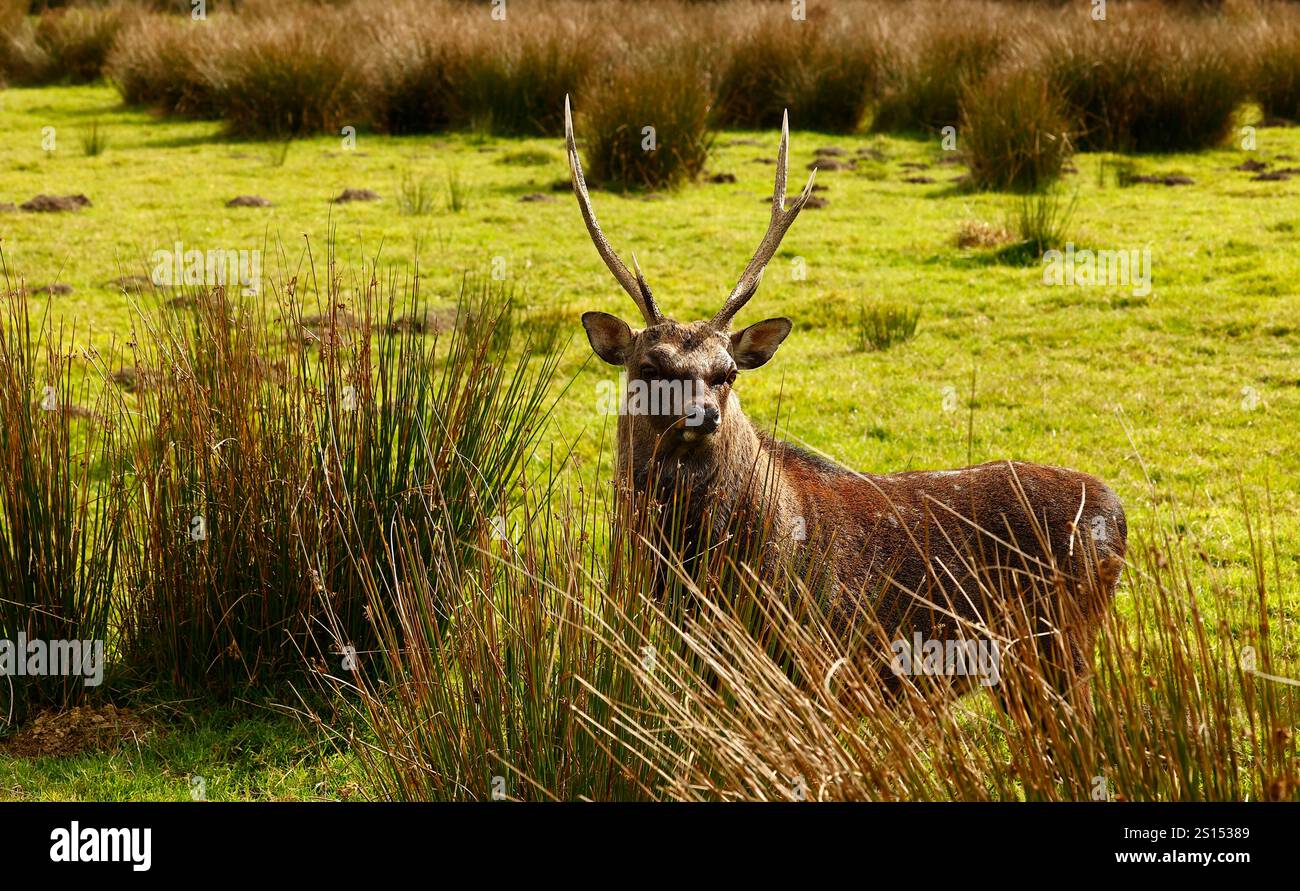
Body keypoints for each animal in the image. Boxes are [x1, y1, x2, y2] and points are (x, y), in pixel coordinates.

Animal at [564, 98, 1127, 722]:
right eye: (650, 365)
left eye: (727, 372)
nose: (701, 415)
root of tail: (1120, 515)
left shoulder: (809, 657)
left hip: (1060, 642)